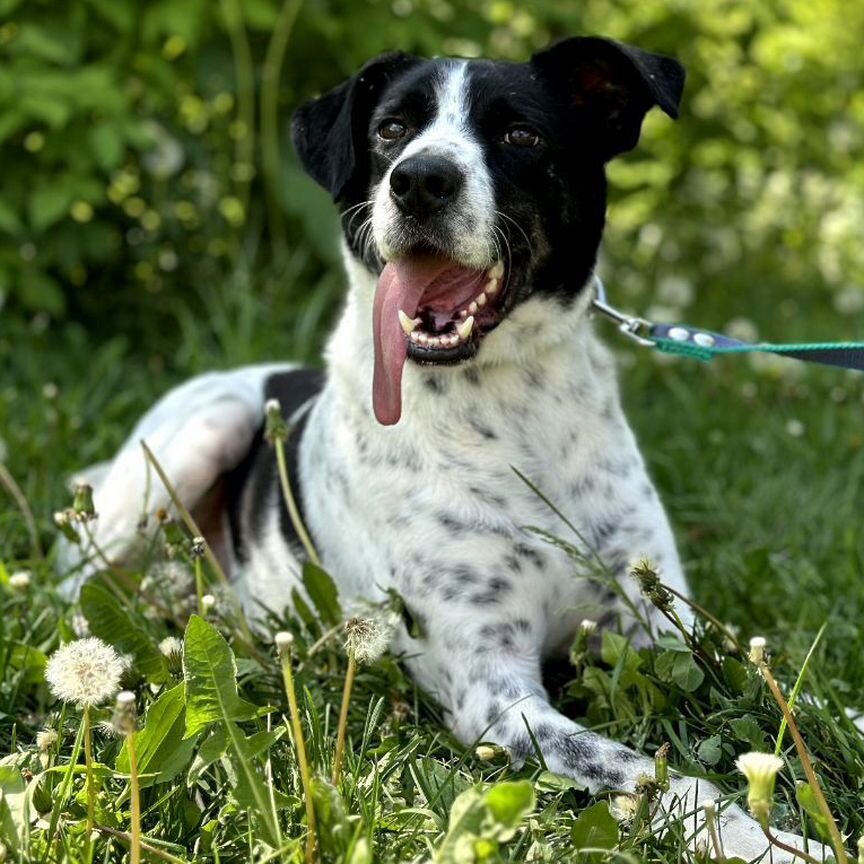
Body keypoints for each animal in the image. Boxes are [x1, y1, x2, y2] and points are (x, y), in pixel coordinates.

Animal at [62, 35, 844, 864]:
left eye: (520, 135)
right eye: (391, 130)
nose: (420, 181)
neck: (510, 412)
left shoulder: (660, 629)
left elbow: (800, 695)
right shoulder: (495, 693)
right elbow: (656, 776)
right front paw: (767, 839)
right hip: (196, 438)